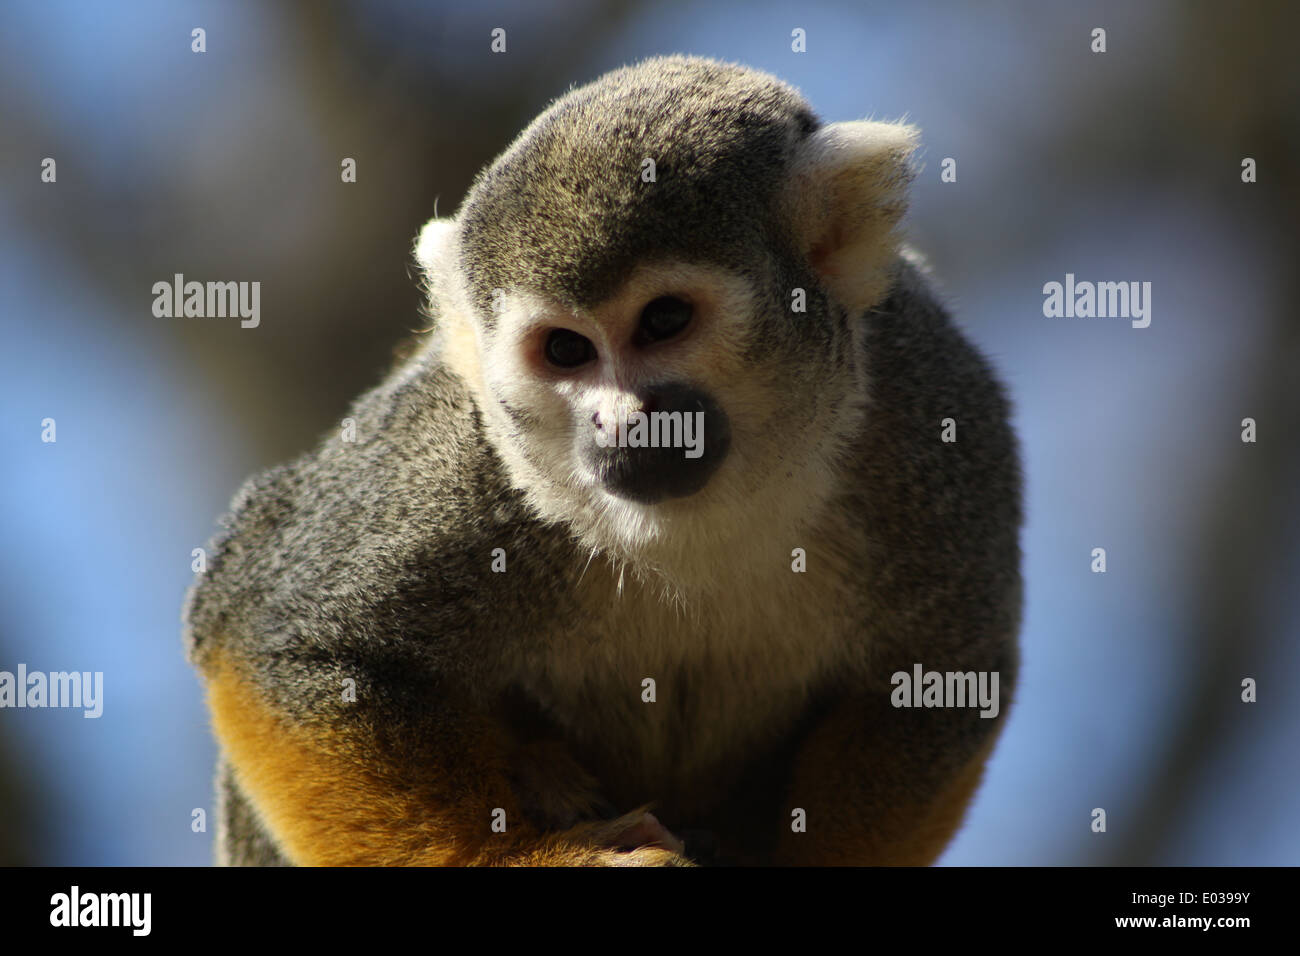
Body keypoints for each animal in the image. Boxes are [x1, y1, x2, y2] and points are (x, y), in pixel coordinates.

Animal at [184, 54, 1022, 867]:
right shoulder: (460, 453)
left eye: (665, 319)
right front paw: (513, 859)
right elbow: (264, 630)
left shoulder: (932, 410)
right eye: (565, 350)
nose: (622, 423)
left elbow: (940, 677)